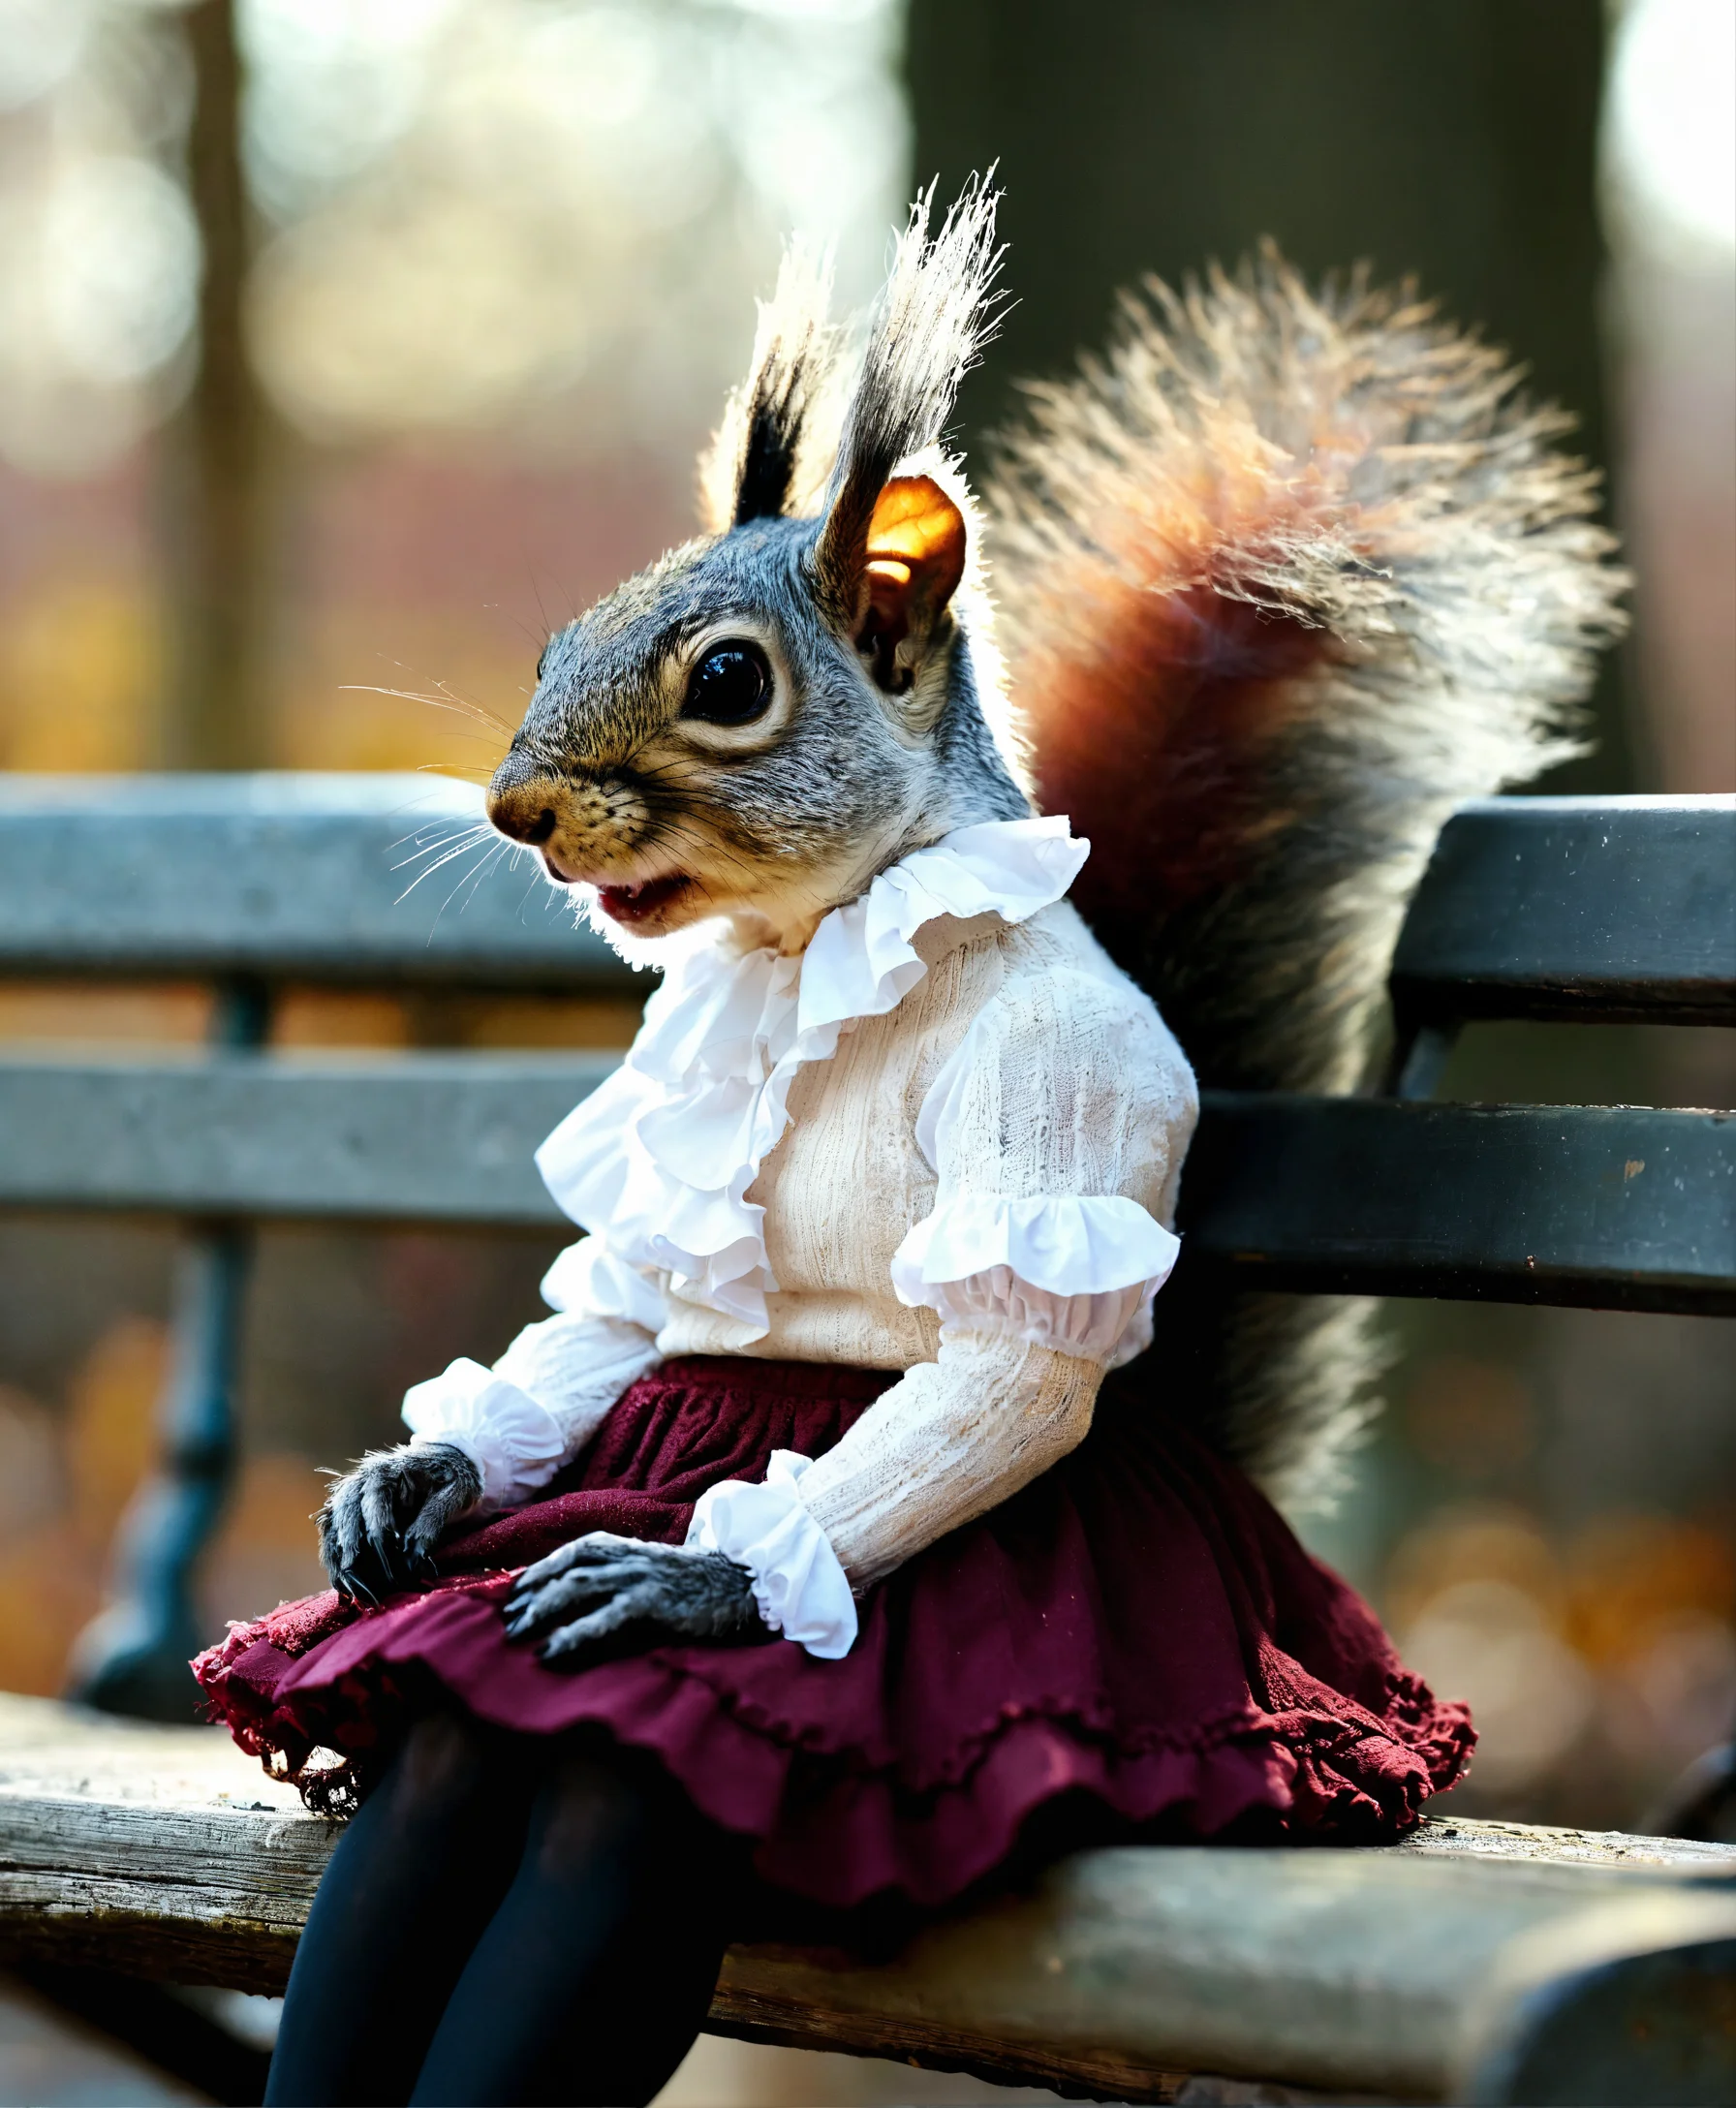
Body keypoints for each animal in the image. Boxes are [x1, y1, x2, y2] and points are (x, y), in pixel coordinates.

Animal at [315, 178, 1624, 1664]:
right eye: (551, 648)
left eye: (728, 680)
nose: (511, 809)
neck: (827, 944)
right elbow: (620, 1297)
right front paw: (424, 1468)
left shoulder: (1057, 1072)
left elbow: (1004, 1375)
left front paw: (700, 1573)